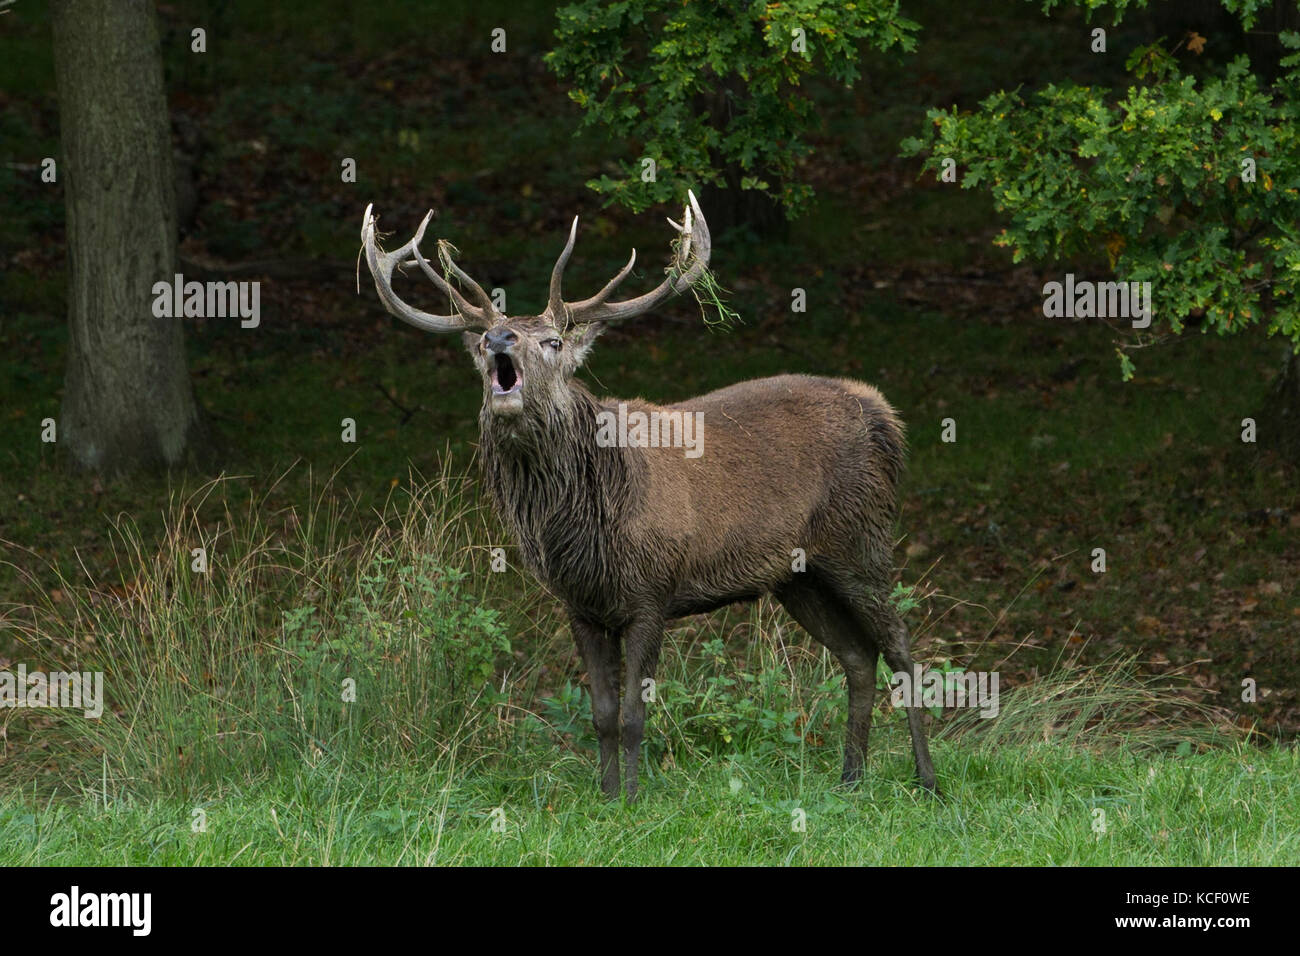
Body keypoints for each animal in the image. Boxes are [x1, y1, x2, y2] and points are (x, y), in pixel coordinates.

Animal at [359, 192, 937, 802]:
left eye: (553, 341)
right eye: (481, 348)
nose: (498, 340)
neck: (588, 522)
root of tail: (885, 416)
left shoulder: (651, 591)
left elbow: (636, 714)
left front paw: (633, 799)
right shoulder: (579, 605)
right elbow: (602, 713)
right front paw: (607, 795)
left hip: (861, 536)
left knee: (900, 644)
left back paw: (926, 780)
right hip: (798, 575)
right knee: (858, 656)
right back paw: (851, 777)